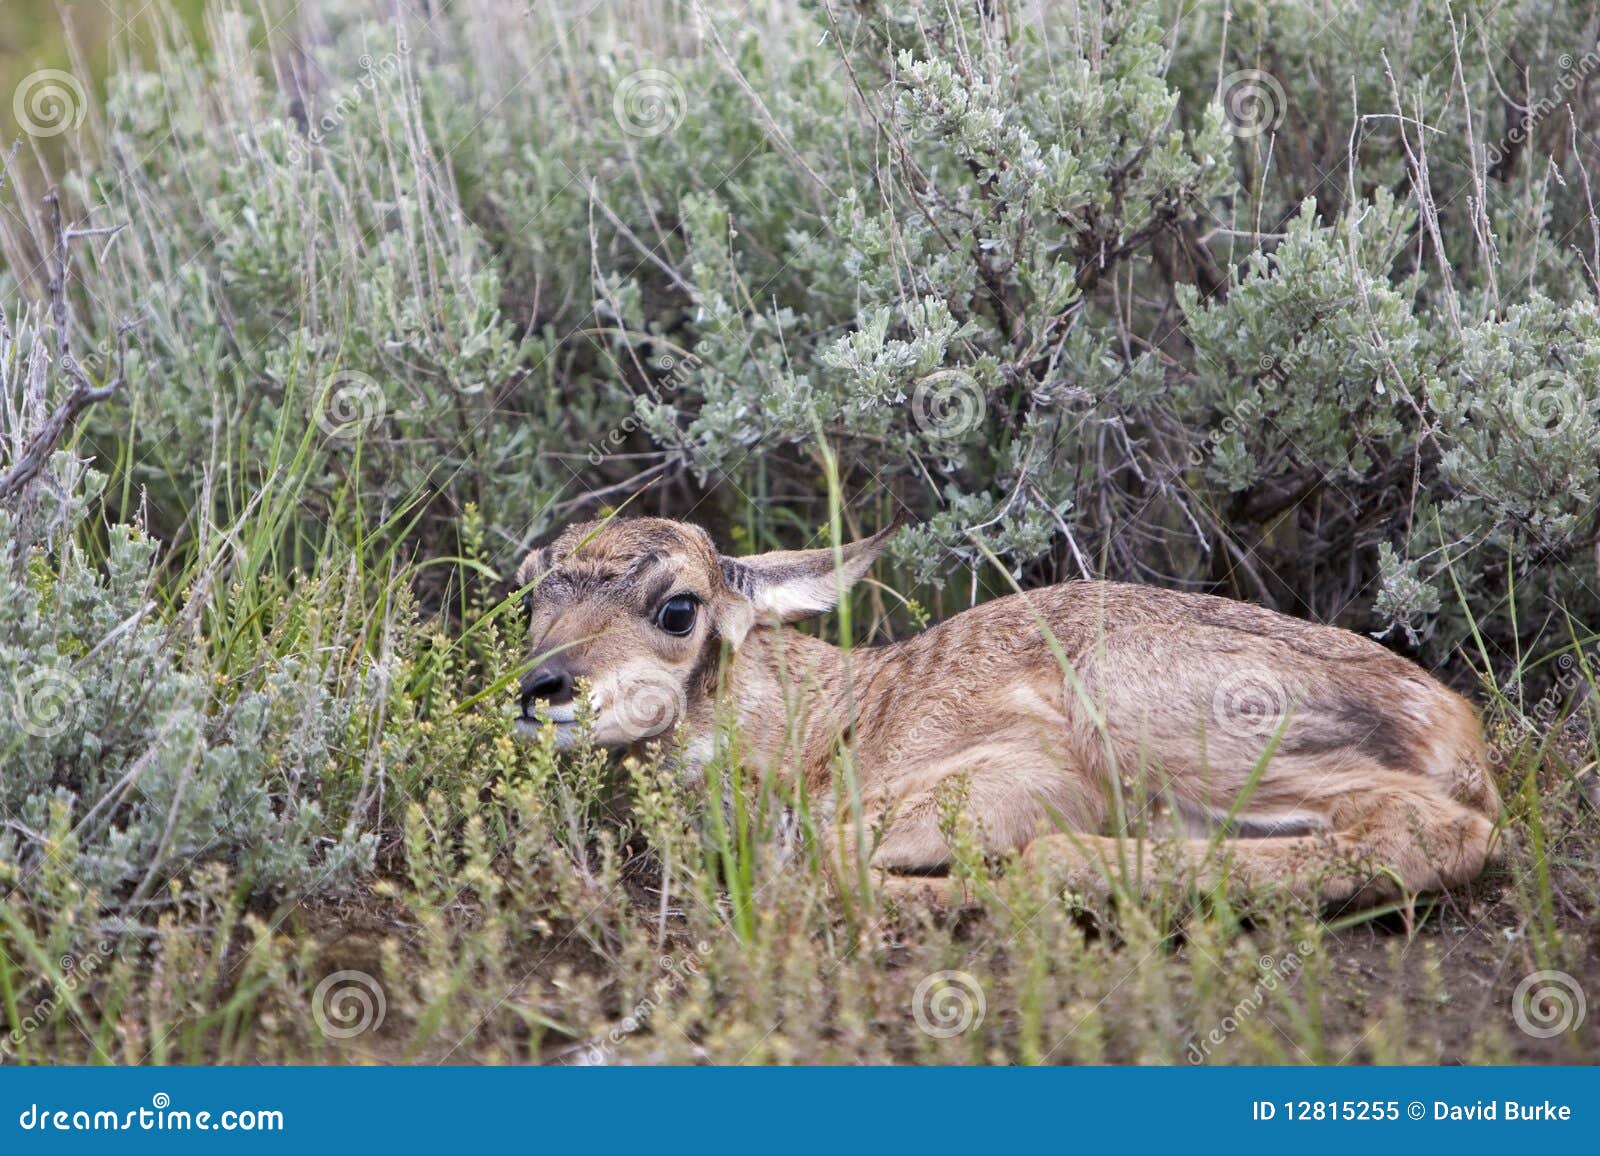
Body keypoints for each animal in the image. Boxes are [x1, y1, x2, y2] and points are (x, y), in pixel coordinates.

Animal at [513, 516, 1500, 908]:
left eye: (677, 608)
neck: (821, 719)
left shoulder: (1019, 771)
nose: (539, 689)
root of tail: (1452, 716)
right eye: (529, 596)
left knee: (1436, 831)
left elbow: (823, 858)